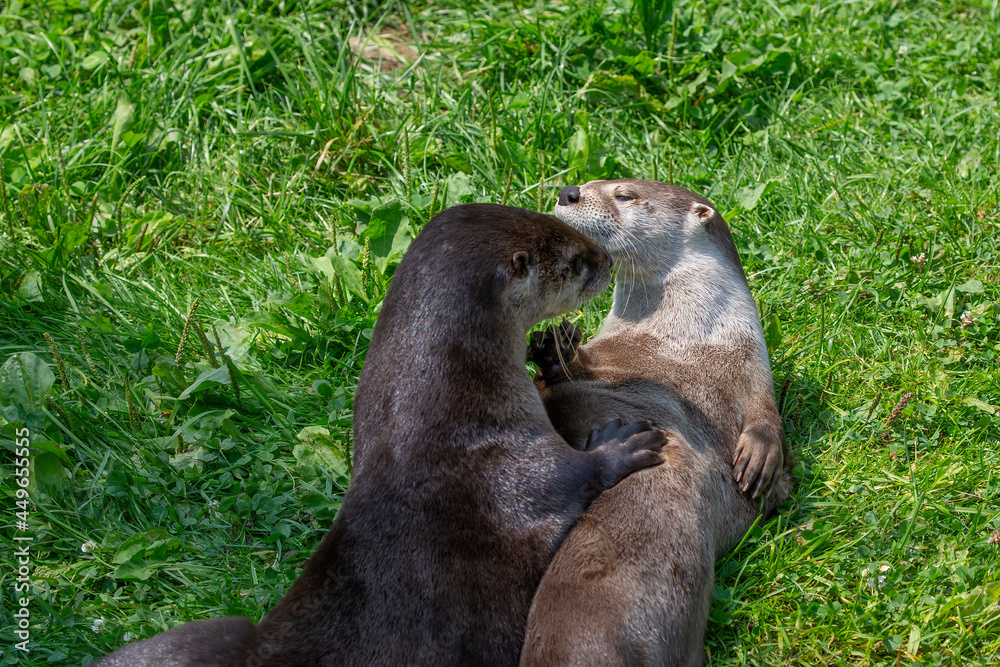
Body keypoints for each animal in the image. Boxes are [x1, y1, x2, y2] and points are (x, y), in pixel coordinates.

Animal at [91, 203, 666, 667]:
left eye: (558, 221)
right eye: (574, 260)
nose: (607, 259)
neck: (444, 411)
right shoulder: (515, 466)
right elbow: (575, 474)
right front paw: (624, 441)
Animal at [519, 180, 791, 667]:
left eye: (623, 193)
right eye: (591, 183)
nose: (569, 191)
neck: (682, 338)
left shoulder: (751, 365)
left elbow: (765, 414)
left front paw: (760, 457)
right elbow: (565, 379)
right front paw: (554, 348)